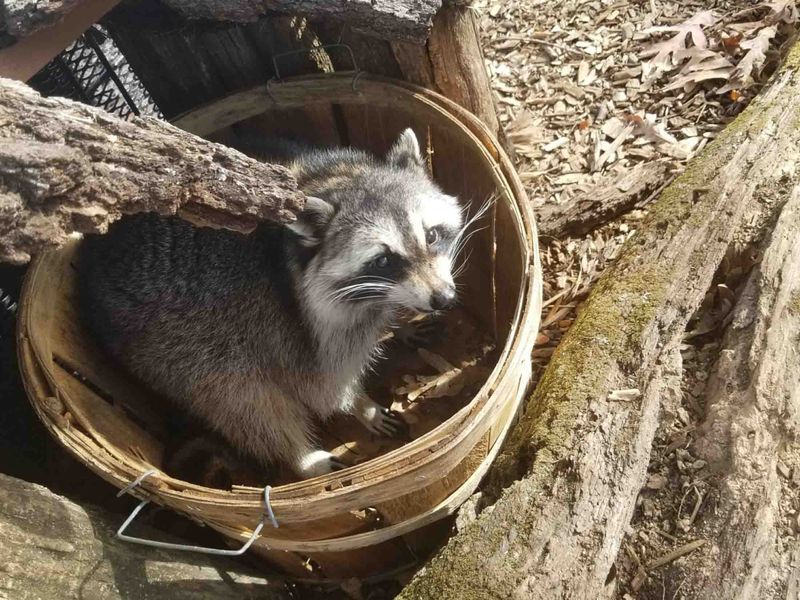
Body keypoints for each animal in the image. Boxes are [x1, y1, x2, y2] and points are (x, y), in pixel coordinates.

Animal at [78, 129, 466, 478]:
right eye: (383, 260)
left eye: (432, 235)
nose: (443, 298)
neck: (329, 178)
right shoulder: (286, 318)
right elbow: (322, 385)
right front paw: (359, 404)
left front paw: (397, 323)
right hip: (167, 342)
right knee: (241, 398)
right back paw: (302, 457)